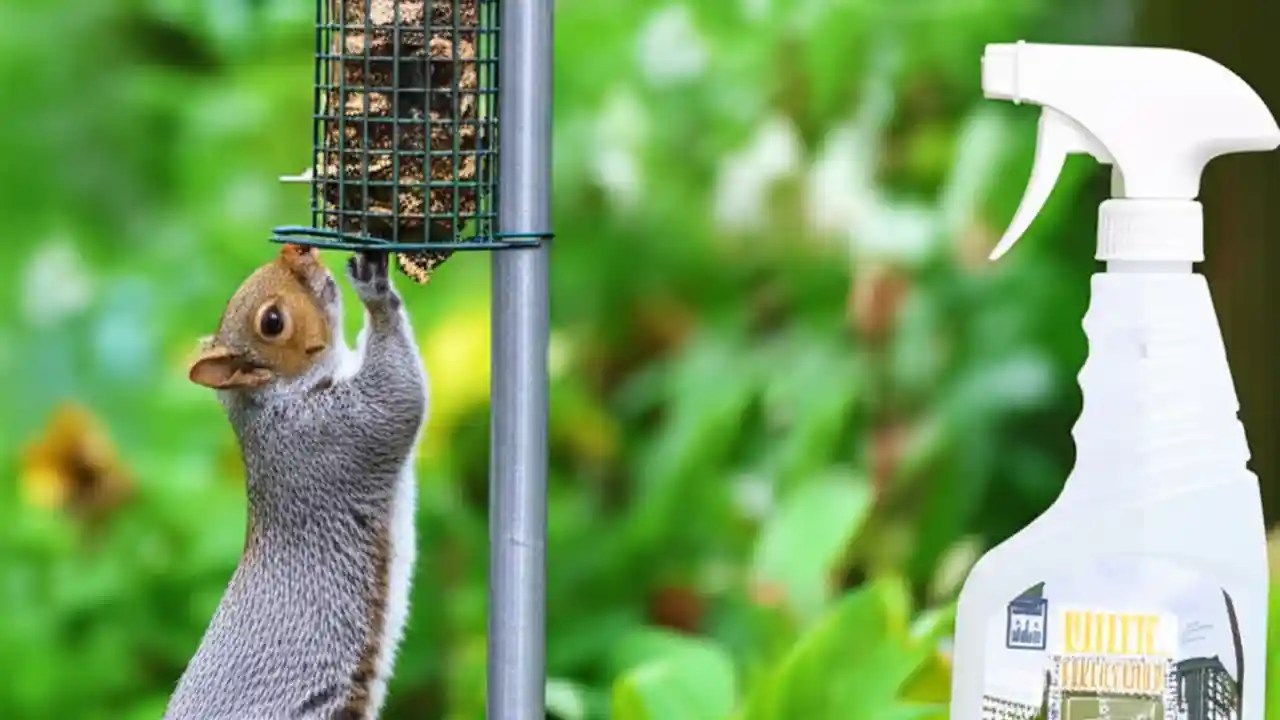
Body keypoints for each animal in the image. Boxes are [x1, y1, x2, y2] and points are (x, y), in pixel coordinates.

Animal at [166, 245, 428, 720]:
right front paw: (375, 292)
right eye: (272, 322)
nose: (298, 249)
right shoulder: (339, 432)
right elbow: (399, 393)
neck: (275, 397)